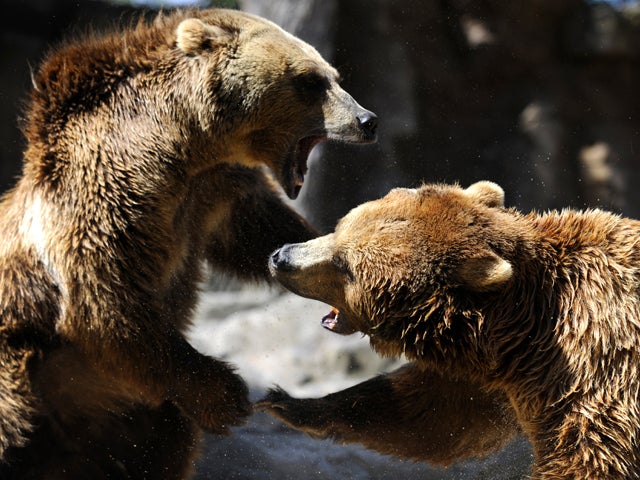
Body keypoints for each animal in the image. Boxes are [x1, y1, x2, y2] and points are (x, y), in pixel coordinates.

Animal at [0, 8, 377, 479]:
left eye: (334, 75)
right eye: (310, 80)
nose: (367, 120)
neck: (180, 146)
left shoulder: (218, 189)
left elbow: (256, 233)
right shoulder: (103, 193)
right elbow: (105, 303)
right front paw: (228, 394)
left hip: (132, 416)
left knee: (163, 445)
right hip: (25, 365)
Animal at [261, 181, 640, 479]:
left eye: (344, 265)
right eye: (340, 226)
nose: (280, 256)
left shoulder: (592, 366)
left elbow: (590, 456)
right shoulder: (500, 370)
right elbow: (434, 411)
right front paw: (289, 403)